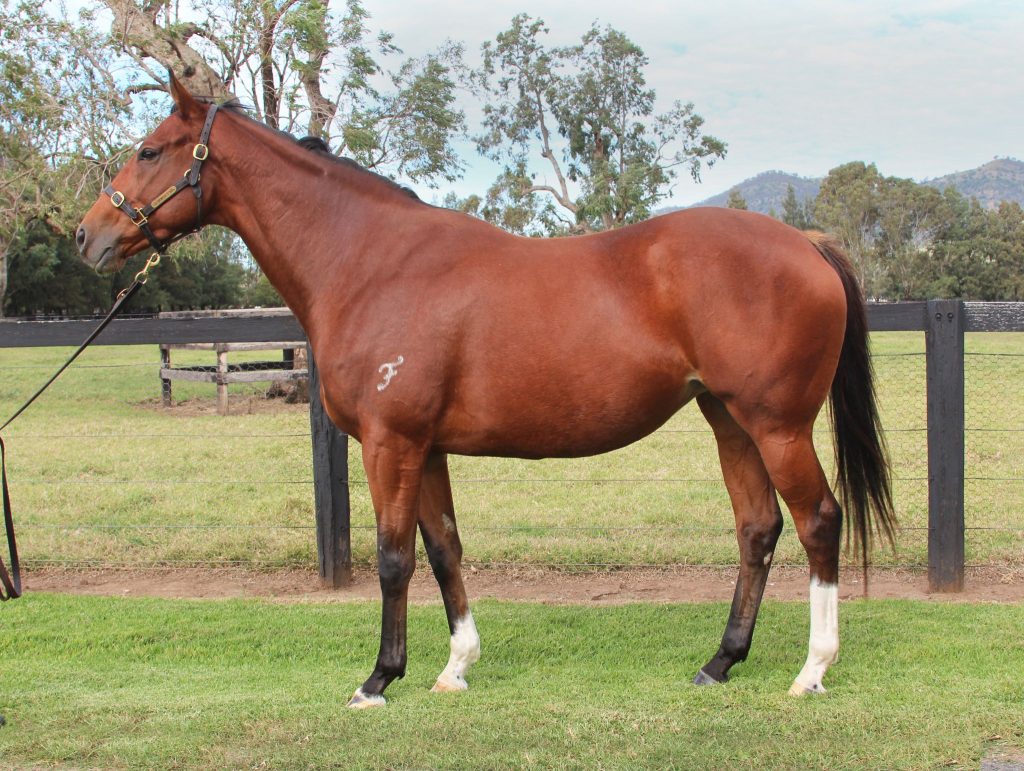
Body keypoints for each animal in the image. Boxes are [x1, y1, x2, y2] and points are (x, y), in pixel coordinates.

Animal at [76, 74, 894, 708]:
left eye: (150, 149)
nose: (87, 236)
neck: (370, 262)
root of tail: (806, 243)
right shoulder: (425, 447)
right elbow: (443, 549)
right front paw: (454, 667)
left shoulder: (389, 443)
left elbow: (392, 558)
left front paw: (378, 679)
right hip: (729, 421)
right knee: (758, 528)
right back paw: (719, 662)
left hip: (777, 424)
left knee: (819, 521)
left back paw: (811, 671)